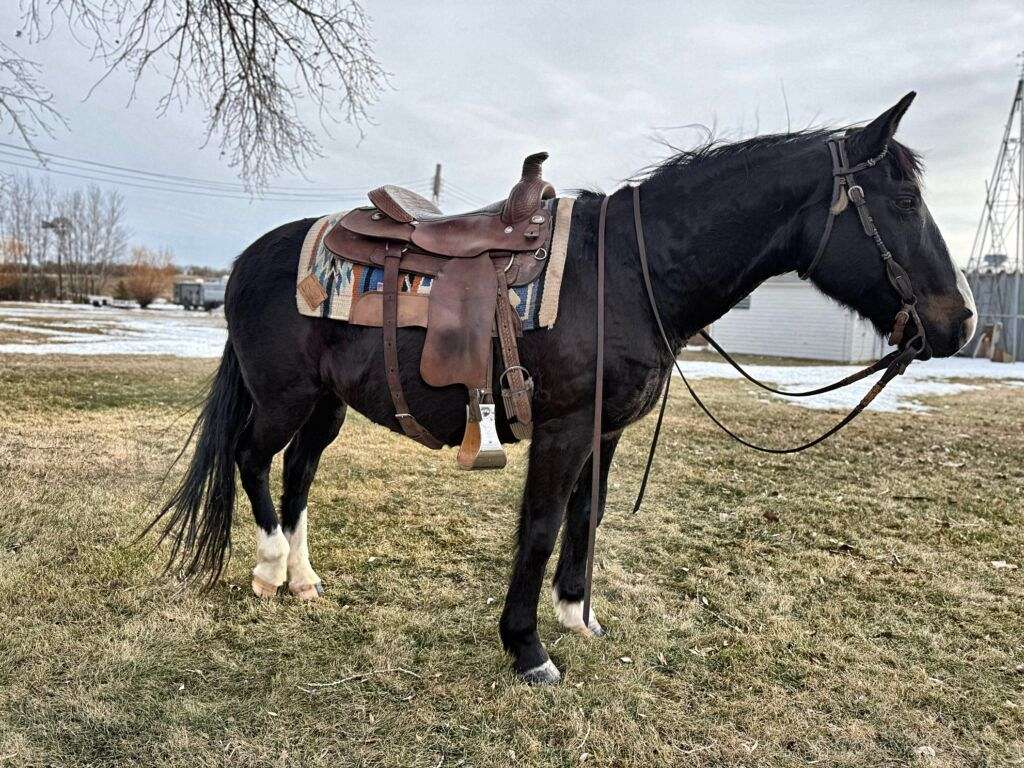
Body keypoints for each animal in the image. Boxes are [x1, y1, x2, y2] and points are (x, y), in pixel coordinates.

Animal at [153, 93, 976, 684]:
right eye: (904, 202)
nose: (961, 320)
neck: (629, 272)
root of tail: (248, 258)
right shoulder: (564, 426)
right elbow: (544, 525)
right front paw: (528, 648)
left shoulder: (604, 431)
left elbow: (589, 515)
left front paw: (580, 616)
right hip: (283, 396)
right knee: (252, 457)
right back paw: (267, 568)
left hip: (326, 406)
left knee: (299, 470)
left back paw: (301, 579)